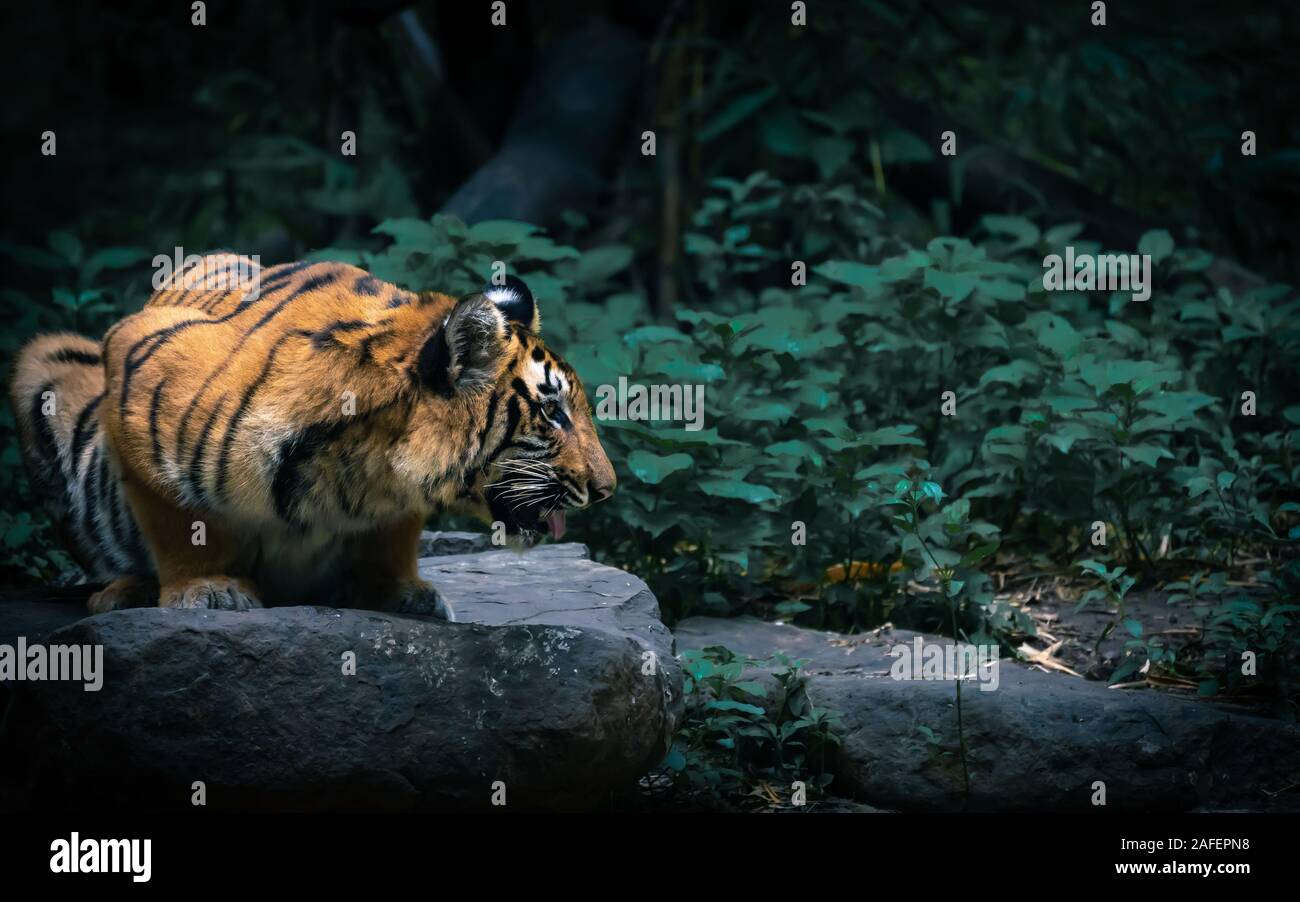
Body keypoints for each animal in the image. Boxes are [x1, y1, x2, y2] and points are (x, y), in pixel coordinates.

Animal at [8, 253, 616, 616]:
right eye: (553, 412)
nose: (607, 488)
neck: (370, 457)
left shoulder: (396, 497)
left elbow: (393, 534)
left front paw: (400, 592)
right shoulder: (137, 366)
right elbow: (181, 521)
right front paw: (209, 589)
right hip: (43, 363)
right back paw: (123, 591)